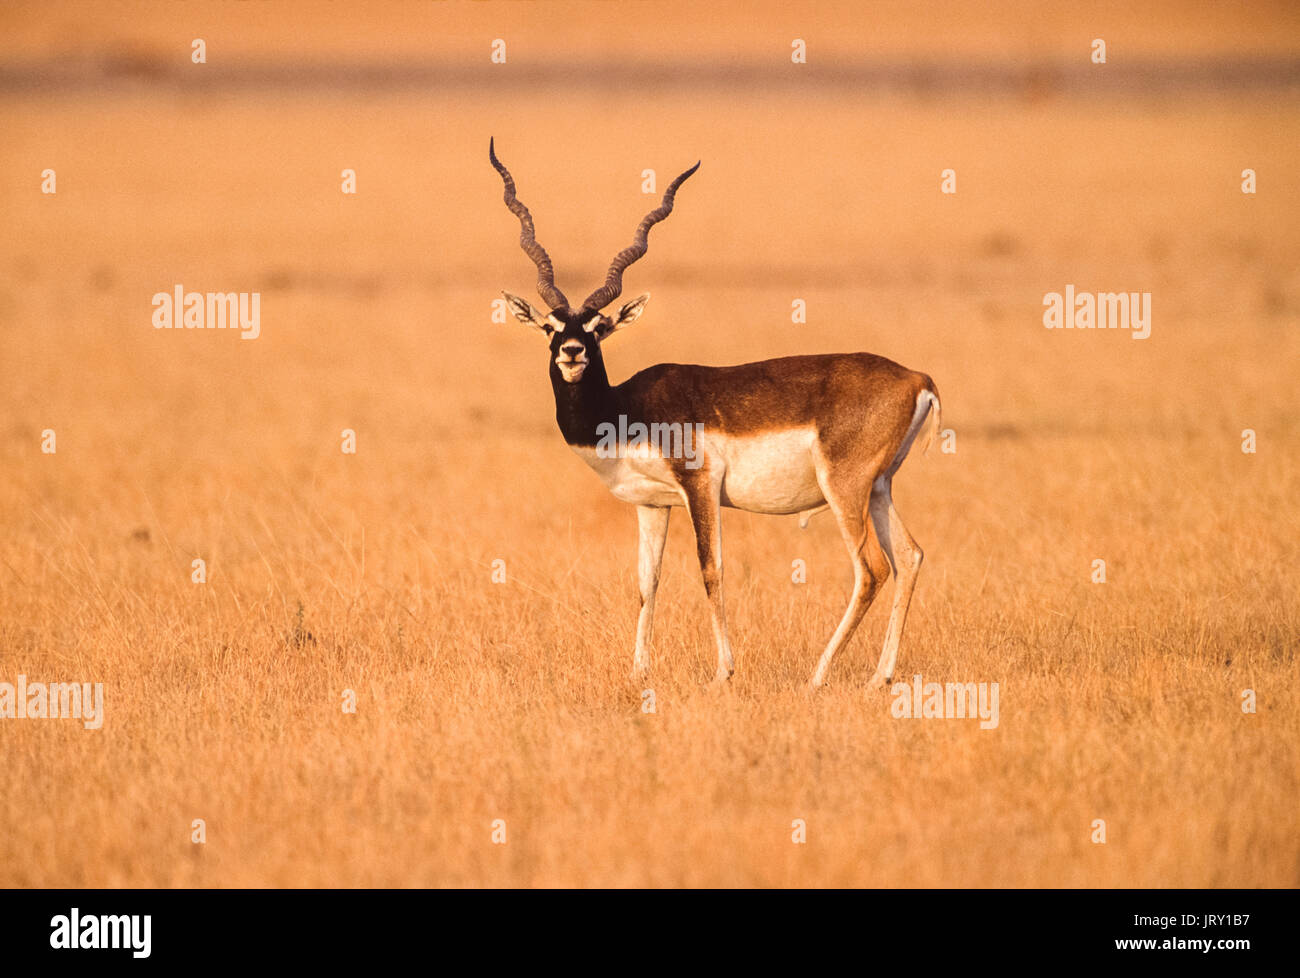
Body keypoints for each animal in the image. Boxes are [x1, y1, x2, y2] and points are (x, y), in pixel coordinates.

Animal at [489, 139, 941, 689]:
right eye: (551, 327)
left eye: (598, 328)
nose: (572, 352)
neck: (626, 408)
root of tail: (916, 377)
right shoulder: (653, 504)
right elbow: (647, 581)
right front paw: (639, 671)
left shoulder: (699, 485)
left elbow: (710, 570)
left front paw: (723, 671)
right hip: (878, 487)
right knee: (910, 557)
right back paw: (880, 677)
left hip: (845, 487)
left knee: (871, 568)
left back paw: (819, 674)